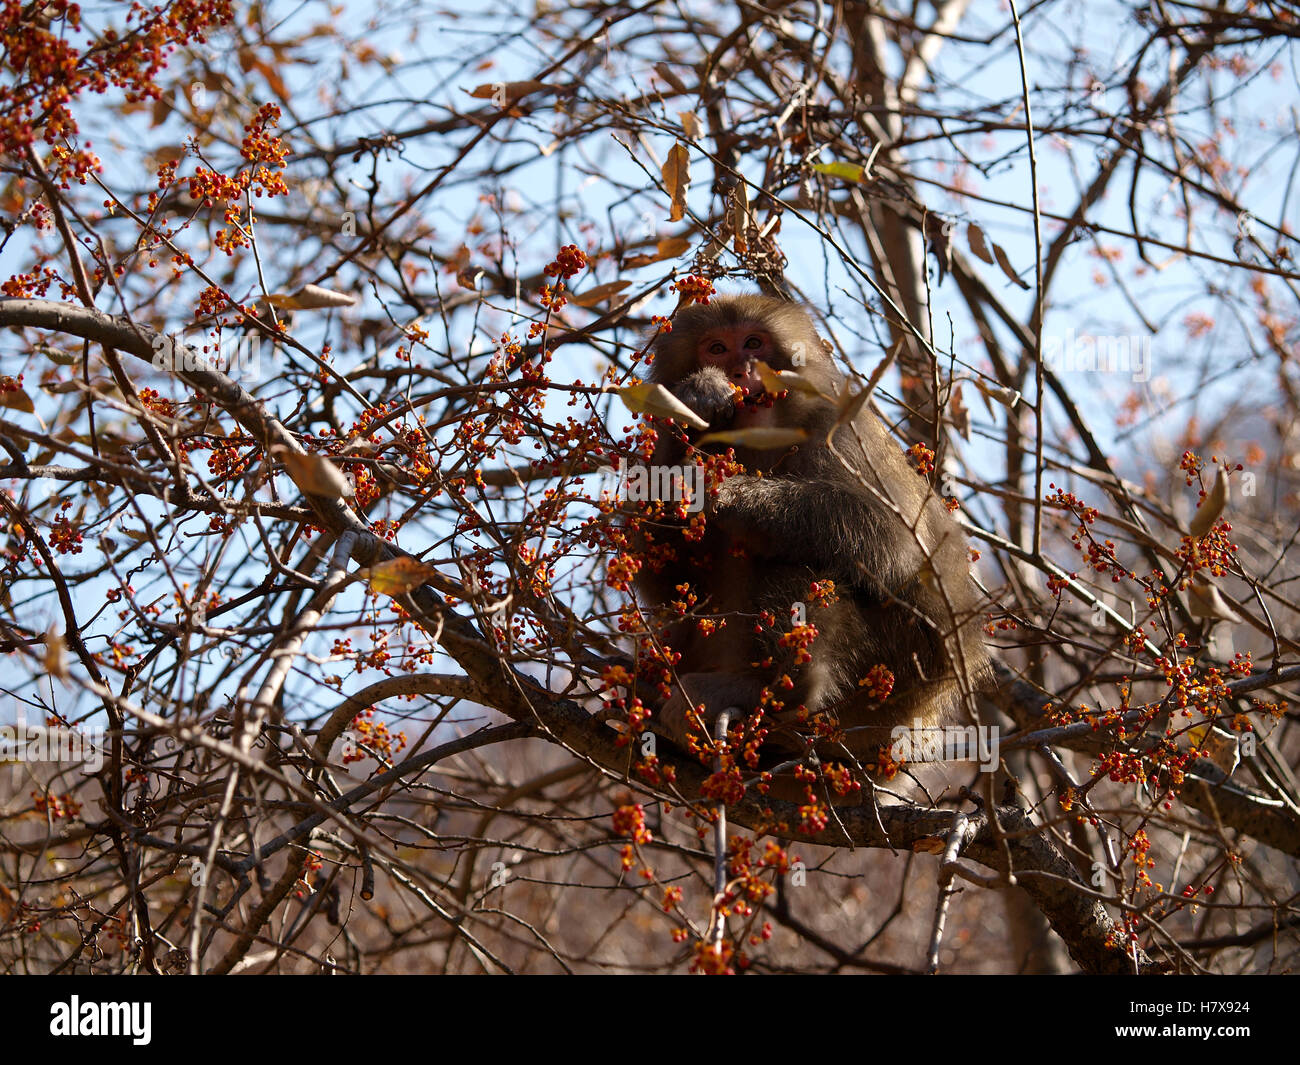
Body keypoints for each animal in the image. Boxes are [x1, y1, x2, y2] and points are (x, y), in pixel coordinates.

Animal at [631, 293, 990, 787]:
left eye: (755, 343)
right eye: (717, 349)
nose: (741, 370)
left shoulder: (838, 427)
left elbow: (897, 543)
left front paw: (728, 493)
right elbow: (669, 580)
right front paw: (696, 397)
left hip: (890, 683)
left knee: (808, 565)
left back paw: (780, 692)